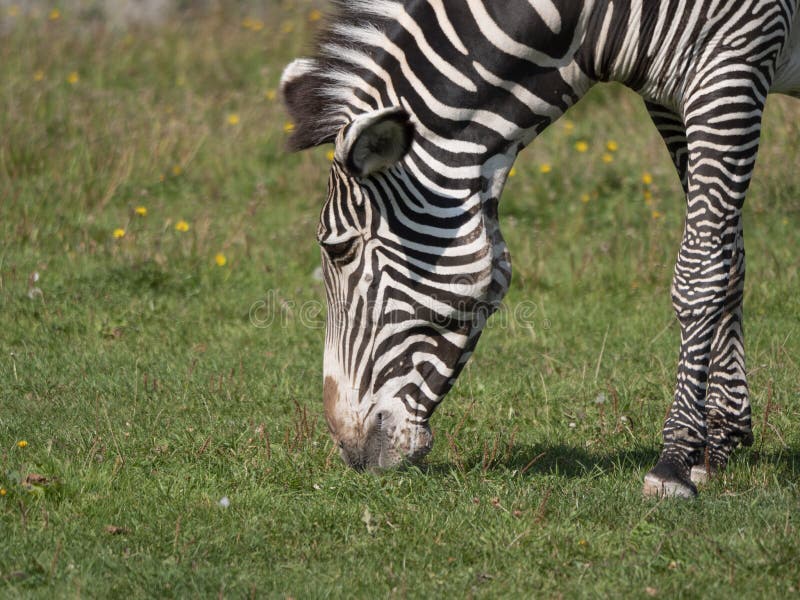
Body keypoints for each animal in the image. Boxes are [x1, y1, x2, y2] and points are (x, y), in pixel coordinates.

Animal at [280, 0, 800, 497]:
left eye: (339, 249)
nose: (349, 451)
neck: (588, 17)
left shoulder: (734, 64)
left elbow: (700, 268)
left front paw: (673, 460)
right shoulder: (671, 95)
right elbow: (728, 254)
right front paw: (718, 441)